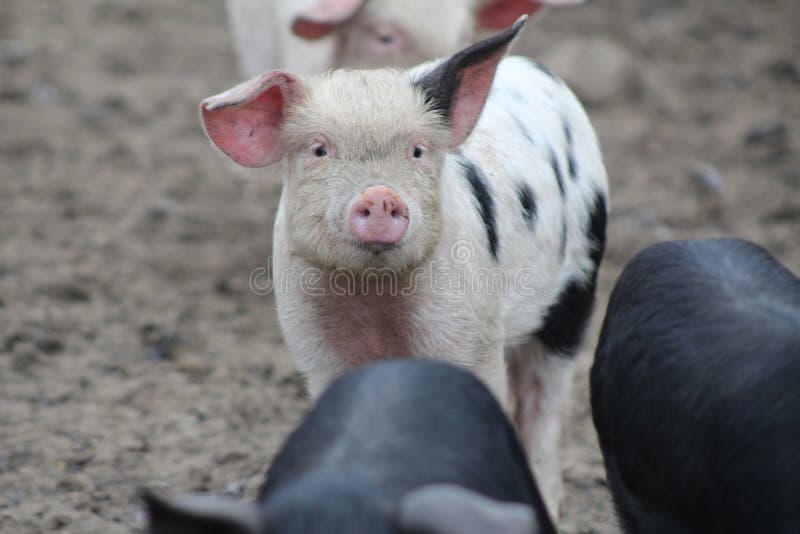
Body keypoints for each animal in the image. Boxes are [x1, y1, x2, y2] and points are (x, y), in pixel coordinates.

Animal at [199, 17, 609, 516]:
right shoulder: (314, 346)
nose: (380, 195)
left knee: (544, 406)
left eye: (416, 150)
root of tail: (535, 69)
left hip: (578, 285)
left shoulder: (471, 333)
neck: (376, 301)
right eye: (319, 150)